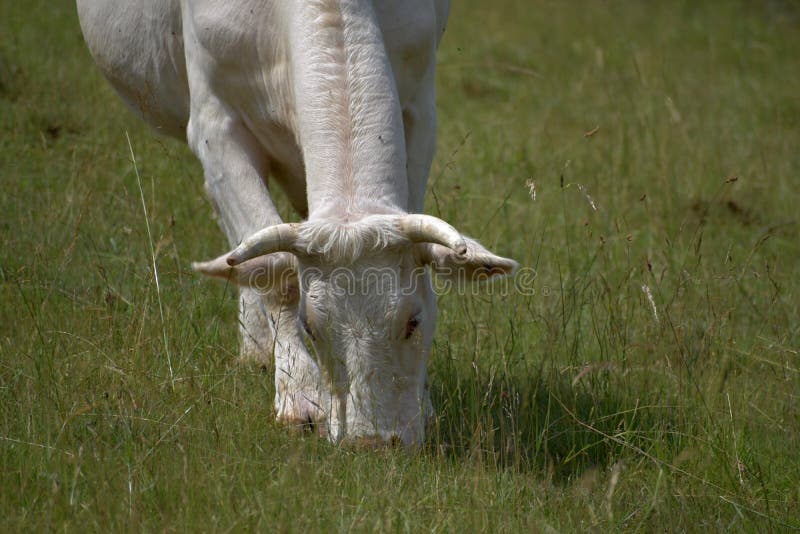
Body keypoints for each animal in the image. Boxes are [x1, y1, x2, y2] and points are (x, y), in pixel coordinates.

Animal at [77, 0, 517, 447]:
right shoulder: (214, 123)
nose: (372, 443)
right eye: (311, 328)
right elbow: (274, 269)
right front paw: (299, 396)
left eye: (414, 320)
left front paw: (424, 406)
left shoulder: (420, 105)